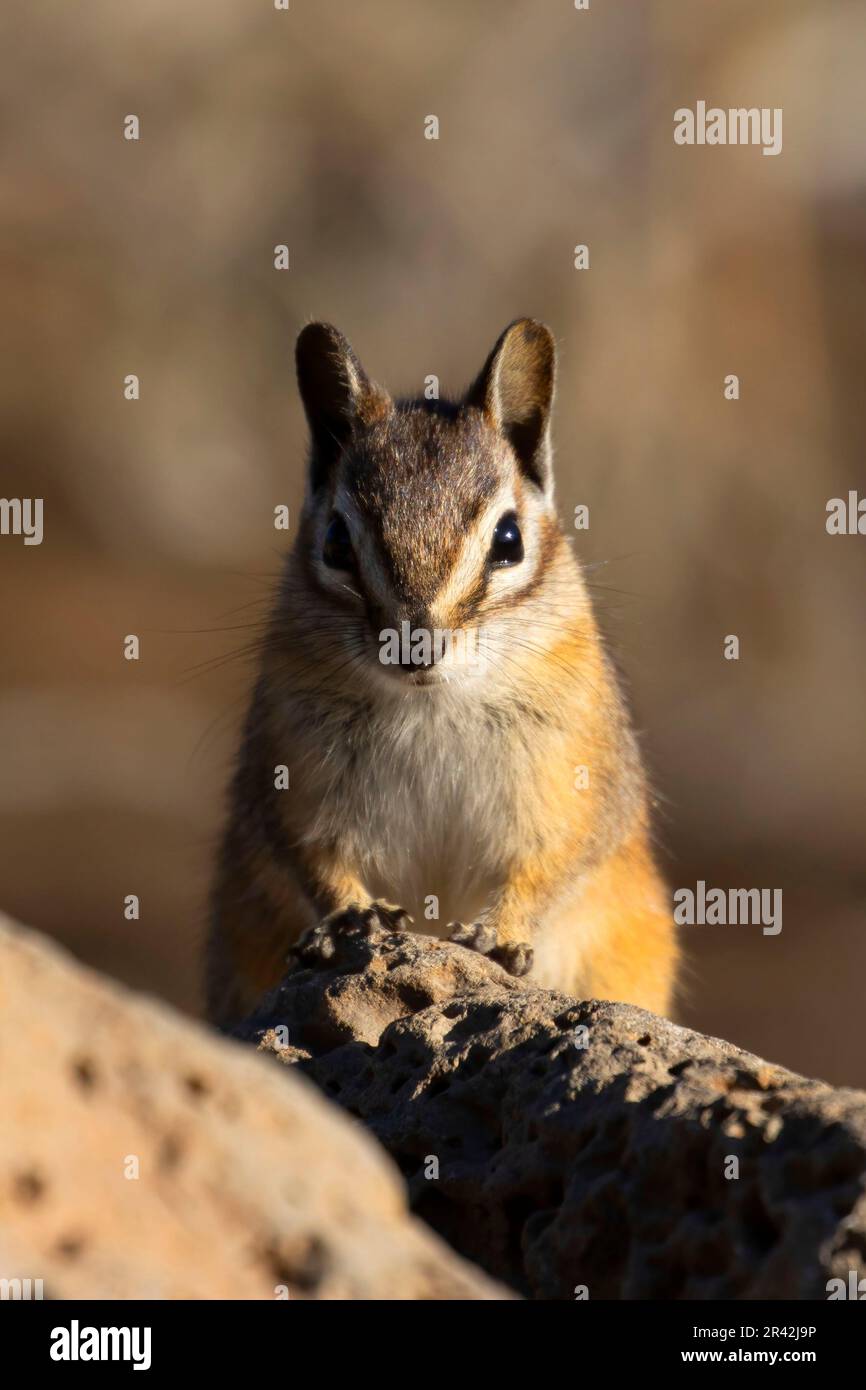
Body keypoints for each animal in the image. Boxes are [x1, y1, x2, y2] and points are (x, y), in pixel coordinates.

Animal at [206, 319, 678, 1027]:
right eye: (336, 544)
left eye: (509, 541)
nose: (416, 646)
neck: (432, 705)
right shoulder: (290, 780)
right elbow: (312, 858)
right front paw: (352, 915)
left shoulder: (575, 787)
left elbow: (552, 864)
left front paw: (500, 932)